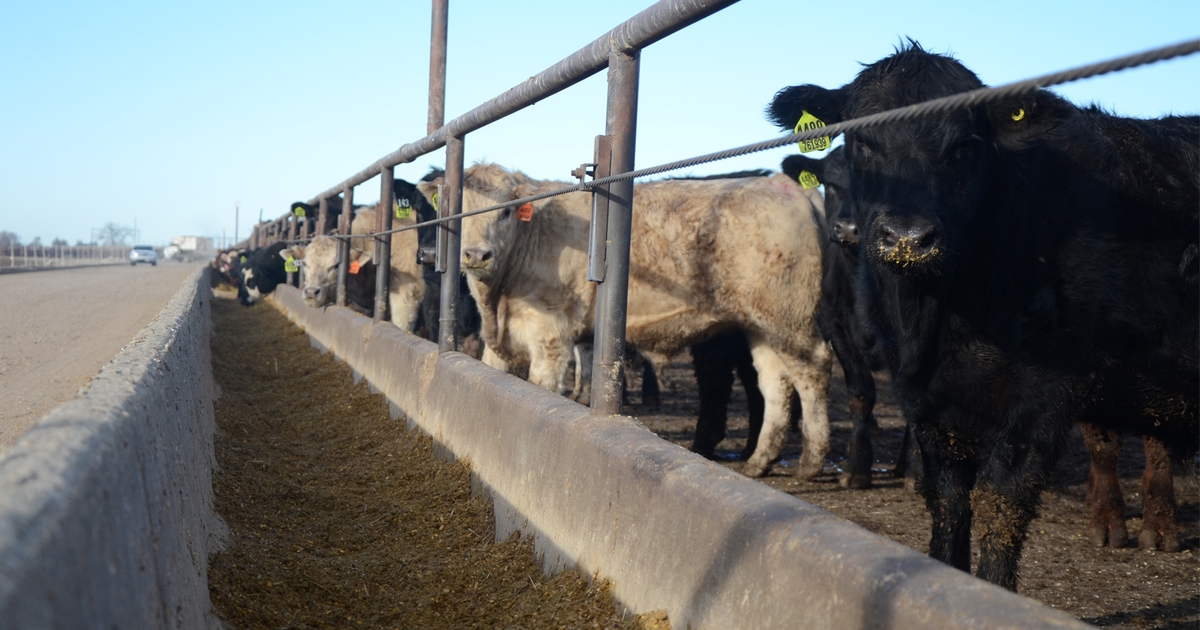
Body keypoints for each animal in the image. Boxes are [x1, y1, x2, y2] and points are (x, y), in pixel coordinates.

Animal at [420, 162, 833, 480]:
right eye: (457, 211)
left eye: (506, 211)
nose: (477, 254)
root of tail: (786, 185)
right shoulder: (500, 342)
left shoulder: (549, 340)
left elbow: (539, 390)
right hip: (761, 326)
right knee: (775, 382)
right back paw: (759, 462)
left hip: (789, 318)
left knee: (812, 370)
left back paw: (811, 462)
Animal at [767, 42, 1198, 590]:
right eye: (862, 141)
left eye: (964, 146)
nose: (907, 237)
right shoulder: (924, 395)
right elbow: (948, 501)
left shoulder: (1044, 395)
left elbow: (1000, 505)